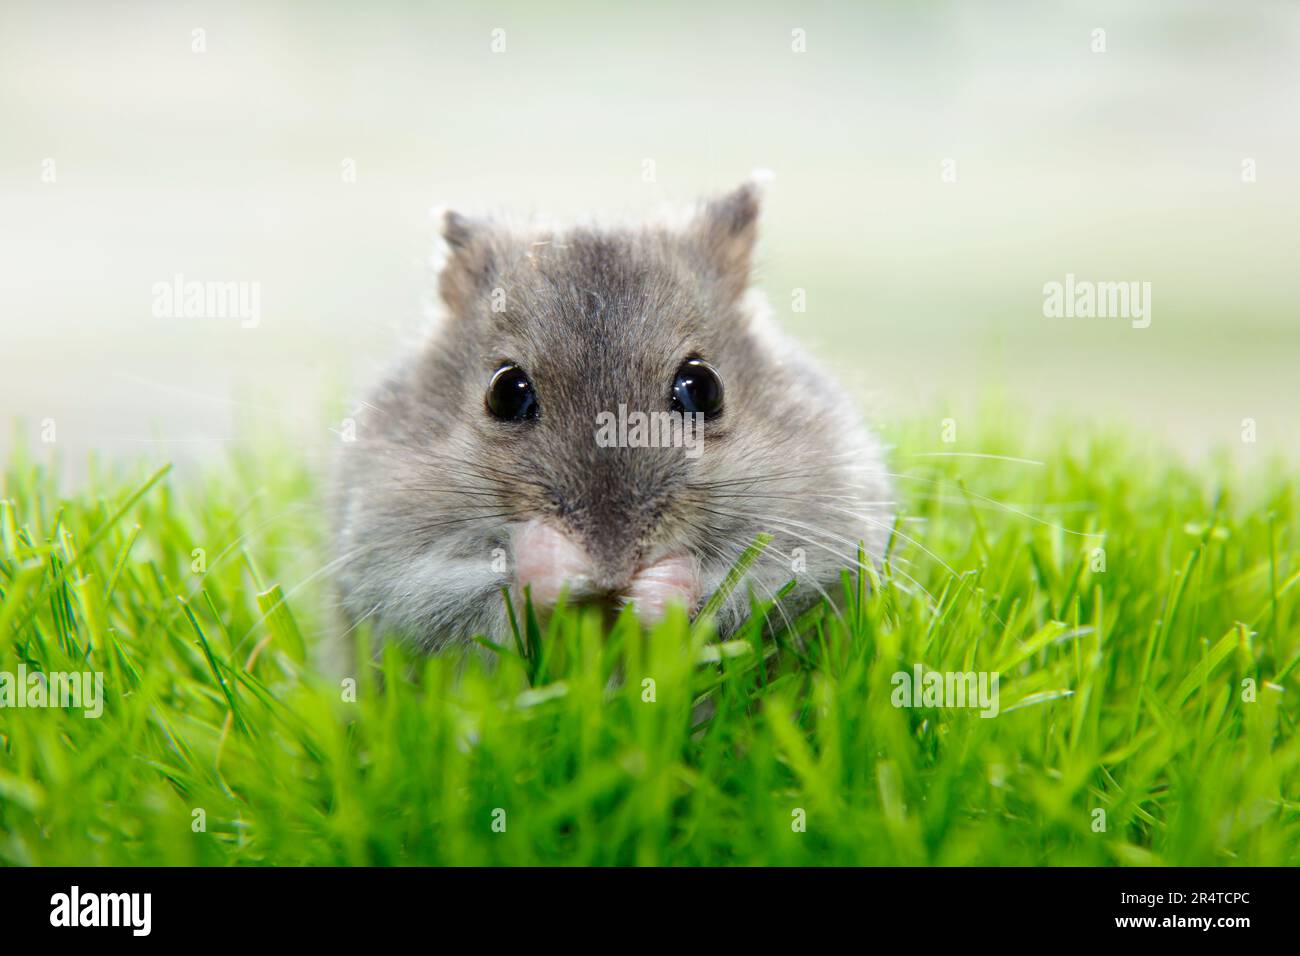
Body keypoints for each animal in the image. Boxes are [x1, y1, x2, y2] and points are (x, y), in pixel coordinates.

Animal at [333, 181, 892, 653]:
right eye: (505, 393)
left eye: (703, 388)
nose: (611, 568)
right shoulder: (394, 565)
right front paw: (558, 561)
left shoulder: (818, 541)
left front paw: (651, 588)